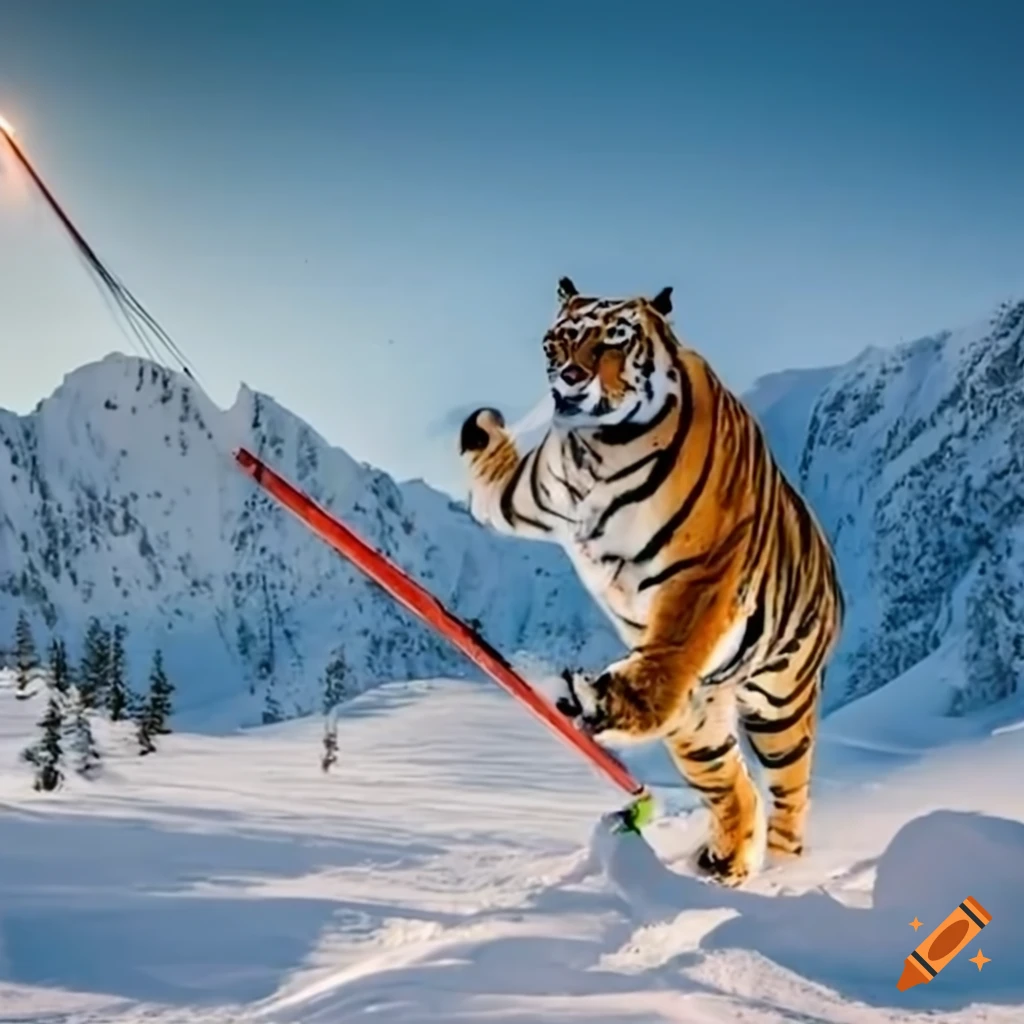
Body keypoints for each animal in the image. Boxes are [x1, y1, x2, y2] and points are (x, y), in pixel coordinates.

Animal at [458, 276, 844, 887]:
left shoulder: (703, 567)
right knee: (730, 784)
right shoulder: (531, 495)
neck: (598, 449)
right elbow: (491, 486)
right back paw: (726, 859)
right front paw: (483, 428)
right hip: (699, 724)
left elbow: (674, 641)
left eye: (615, 338)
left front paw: (615, 699)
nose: (572, 378)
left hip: (782, 703)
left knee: (788, 789)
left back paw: (780, 867)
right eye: (560, 340)